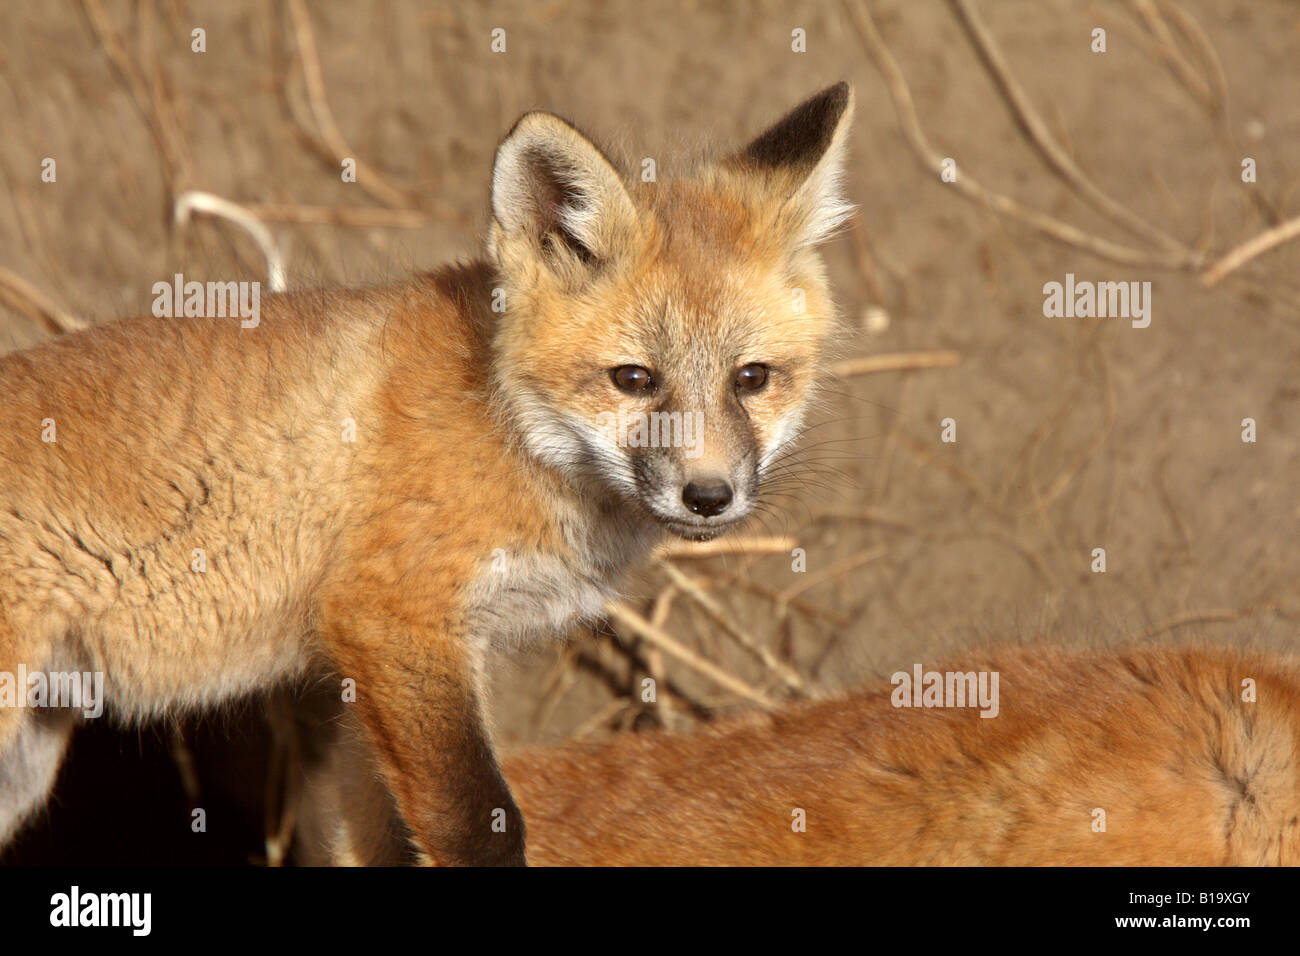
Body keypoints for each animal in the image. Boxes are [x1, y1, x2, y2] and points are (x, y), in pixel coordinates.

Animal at [0, 83, 855, 864]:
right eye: (634, 380)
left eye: (752, 379)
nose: (709, 497)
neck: (511, 433)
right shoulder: (395, 624)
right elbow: (481, 827)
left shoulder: (371, 679)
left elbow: (369, 840)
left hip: (27, 755)